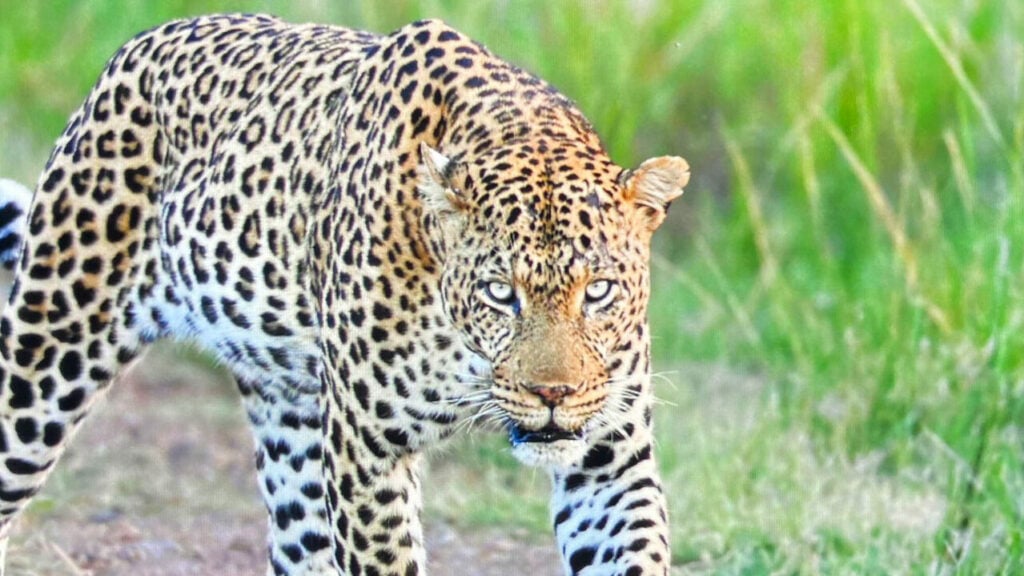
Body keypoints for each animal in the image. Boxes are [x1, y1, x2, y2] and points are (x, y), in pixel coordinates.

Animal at [0, 14, 689, 575]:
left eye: (598, 291)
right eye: (500, 293)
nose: (553, 395)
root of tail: (140, 44)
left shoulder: (609, 460)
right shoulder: (367, 454)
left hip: (292, 425)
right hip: (46, 356)